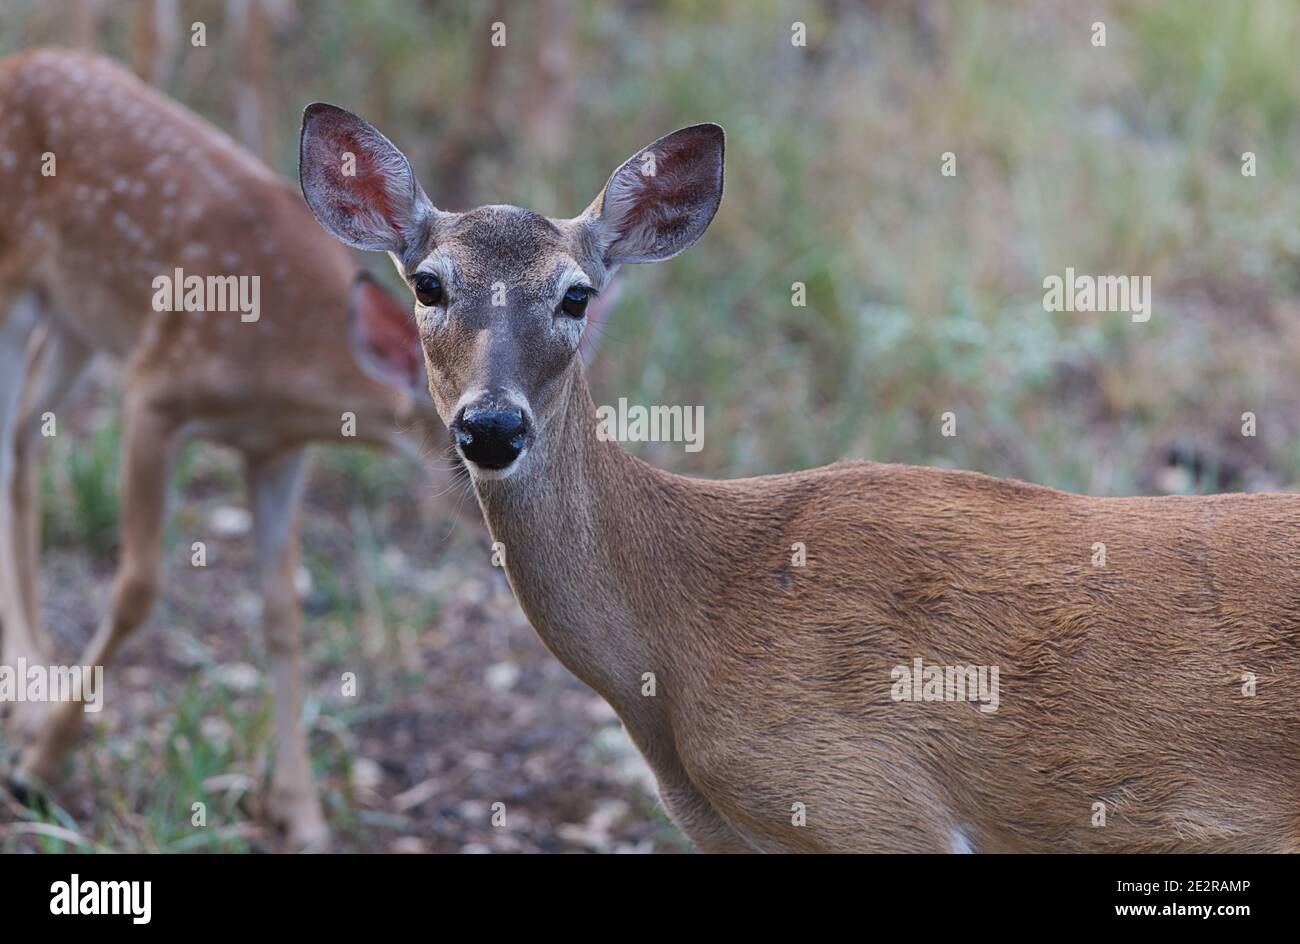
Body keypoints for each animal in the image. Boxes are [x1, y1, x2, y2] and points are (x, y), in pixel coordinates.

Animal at [0, 48, 485, 848]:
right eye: (462, 442)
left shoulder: (279, 451)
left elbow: (283, 612)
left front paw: (304, 814)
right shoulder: (154, 390)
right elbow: (138, 588)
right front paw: (38, 770)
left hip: (78, 317)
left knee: (23, 437)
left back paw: (33, 675)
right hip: (16, 282)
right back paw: (32, 697)